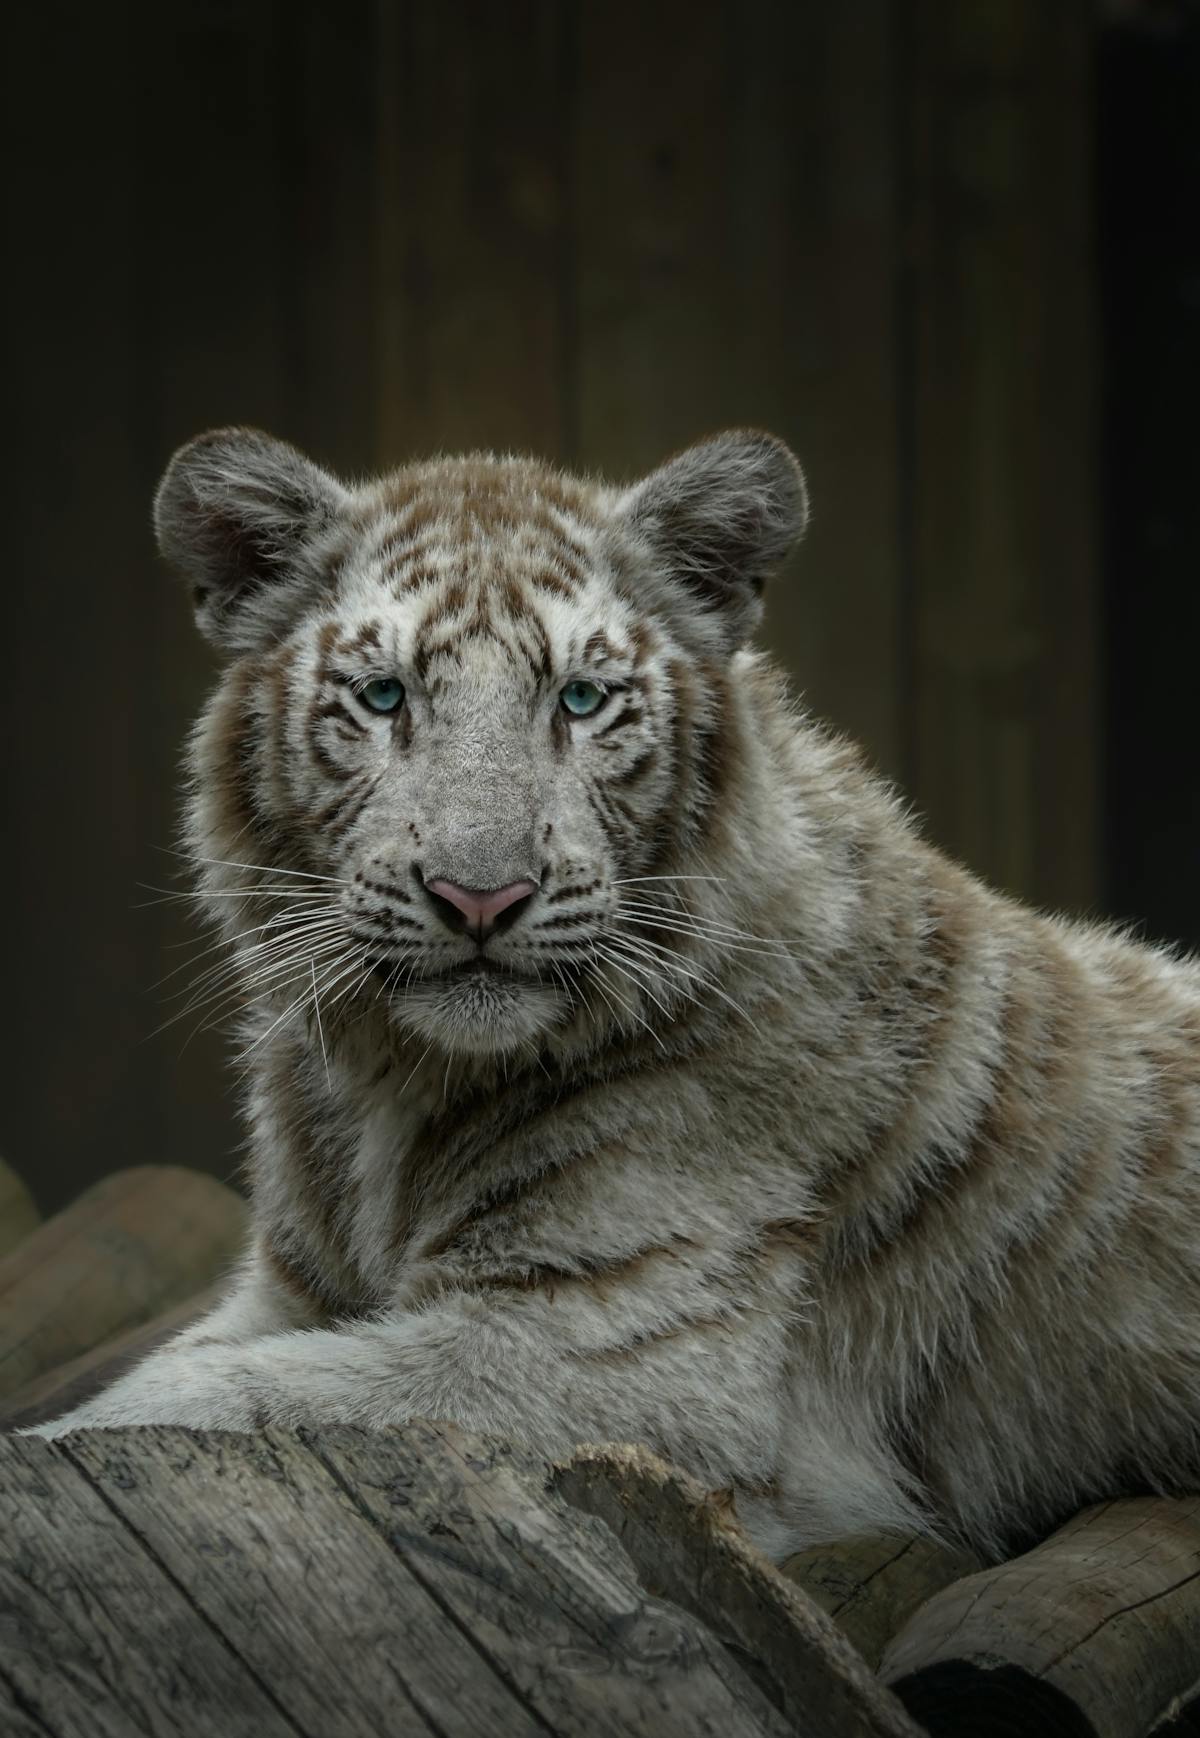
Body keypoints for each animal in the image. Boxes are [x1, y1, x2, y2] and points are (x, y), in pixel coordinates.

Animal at [28, 424, 1200, 1565]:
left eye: (581, 700)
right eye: (384, 696)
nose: (481, 894)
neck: (392, 1080)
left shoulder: (620, 1350)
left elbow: (200, 1402)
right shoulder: (288, 1291)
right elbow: (182, 1372)